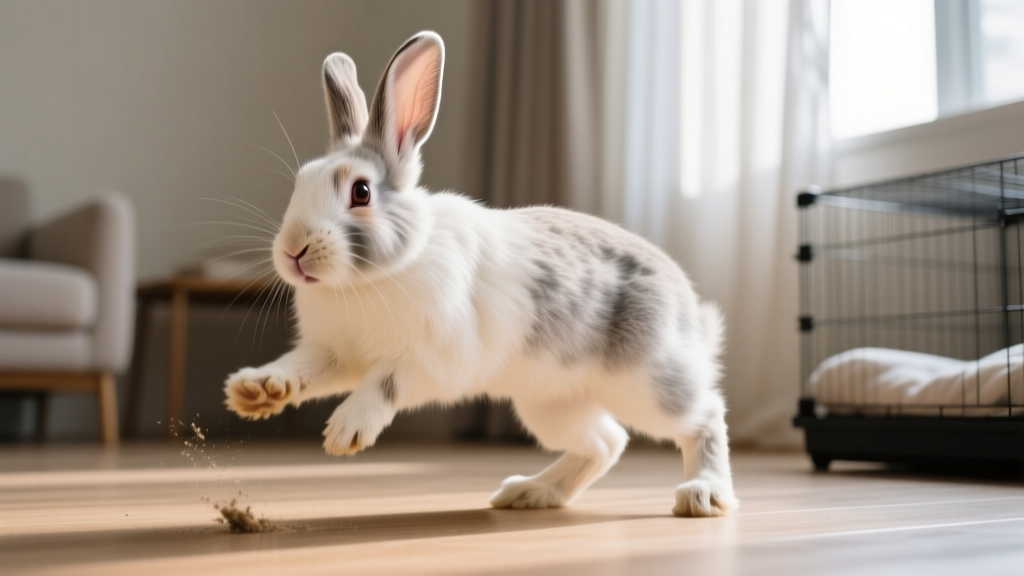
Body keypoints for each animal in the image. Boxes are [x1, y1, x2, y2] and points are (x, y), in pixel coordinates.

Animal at [224, 31, 737, 517]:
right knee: (606, 443)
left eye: (361, 192)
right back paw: (530, 492)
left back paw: (703, 494)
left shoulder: (430, 358)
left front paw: (346, 431)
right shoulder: (335, 353)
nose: (293, 251)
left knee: (704, 417)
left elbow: (385, 384)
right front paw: (256, 390)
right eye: (300, 183)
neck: (371, 277)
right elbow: (303, 368)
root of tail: (690, 311)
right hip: (552, 403)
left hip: (647, 382)